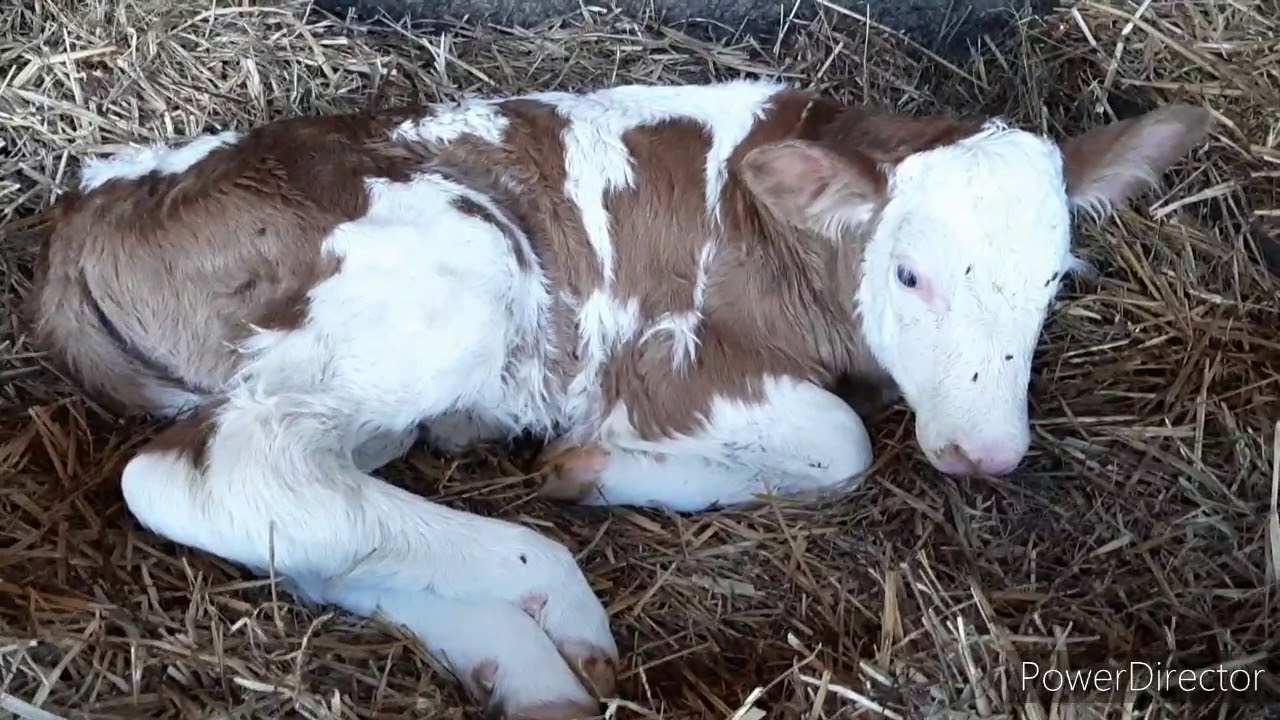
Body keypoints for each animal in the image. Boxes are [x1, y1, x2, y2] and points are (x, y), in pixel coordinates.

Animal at [25, 79, 1212, 718]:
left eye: (1054, 280)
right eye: (911, 274)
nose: (985, 452)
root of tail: (92, 202)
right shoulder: (666, 355)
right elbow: (840, 442)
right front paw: (597, 463)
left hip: (364, 390)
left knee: (313, 513)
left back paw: (521, 667)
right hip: (460, 271)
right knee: (213, 475)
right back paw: (549, 589)